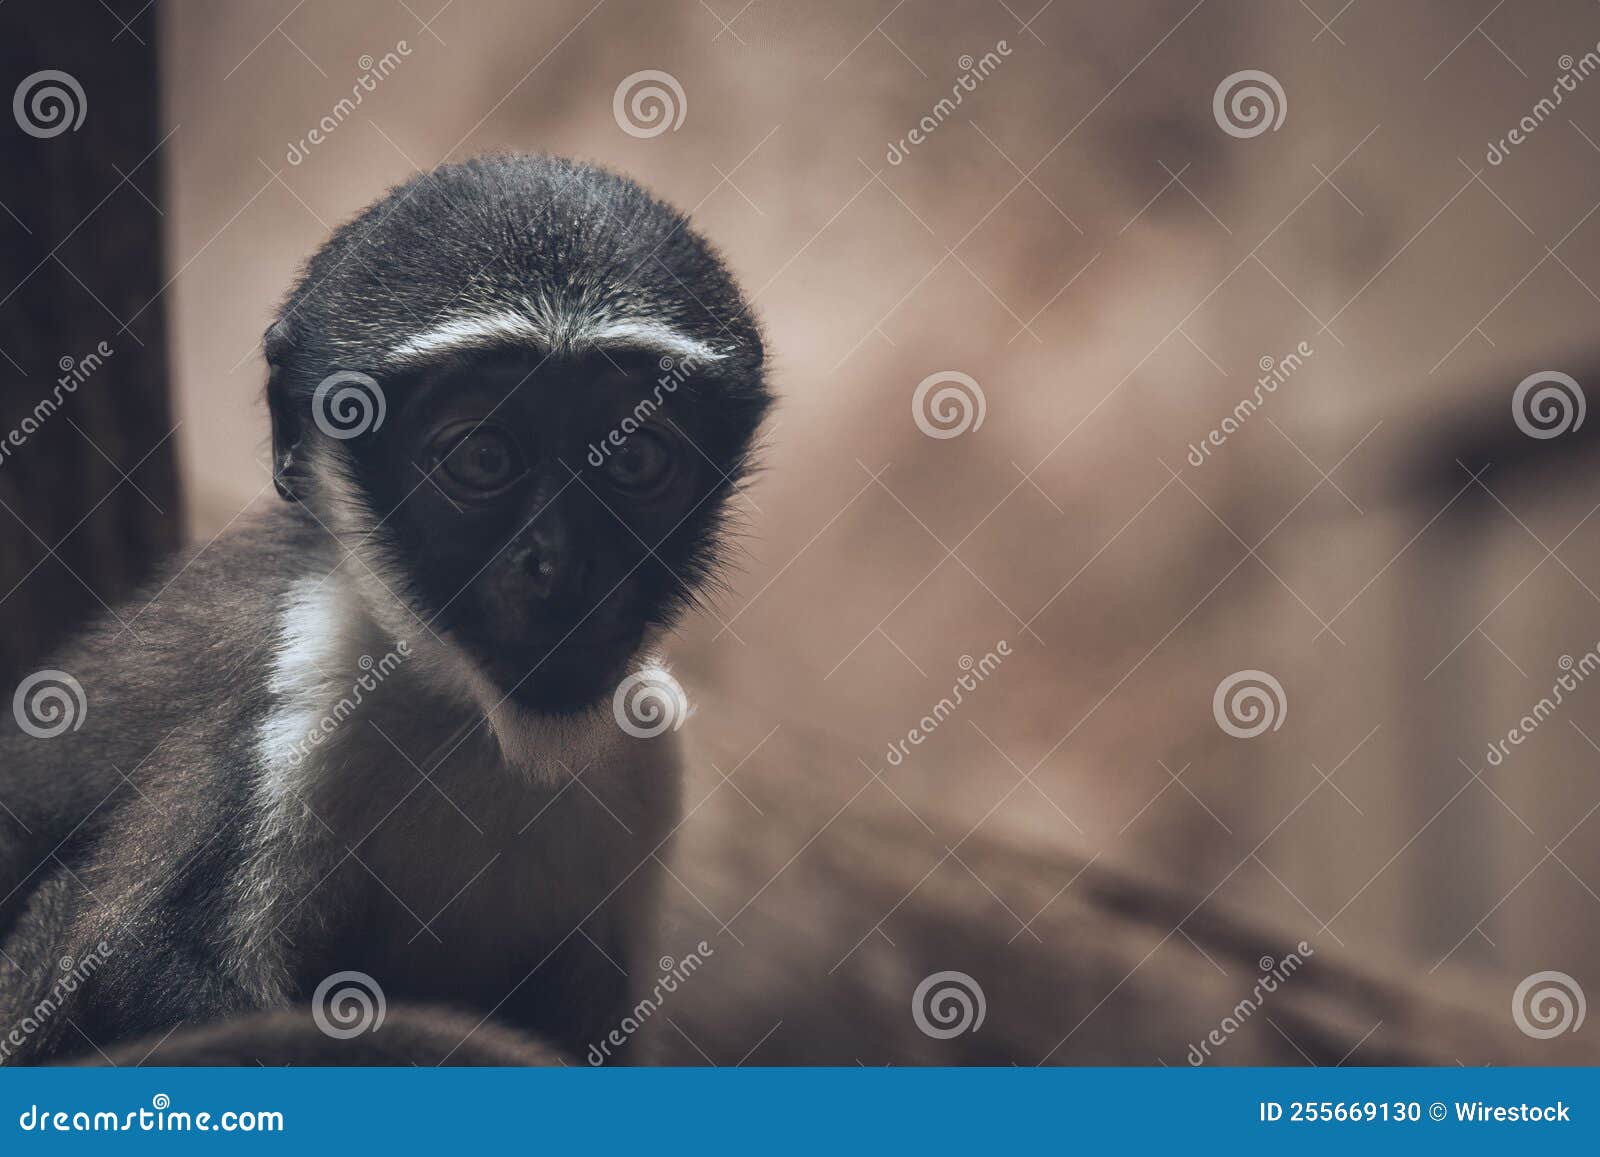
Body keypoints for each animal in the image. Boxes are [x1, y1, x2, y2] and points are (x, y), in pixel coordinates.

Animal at [0, 153, 770, 1065]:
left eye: (637, 456)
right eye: (482, 455)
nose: (562, 564)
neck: (475, 724)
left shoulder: (645, 747)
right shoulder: (306, 682)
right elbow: (135, 968)